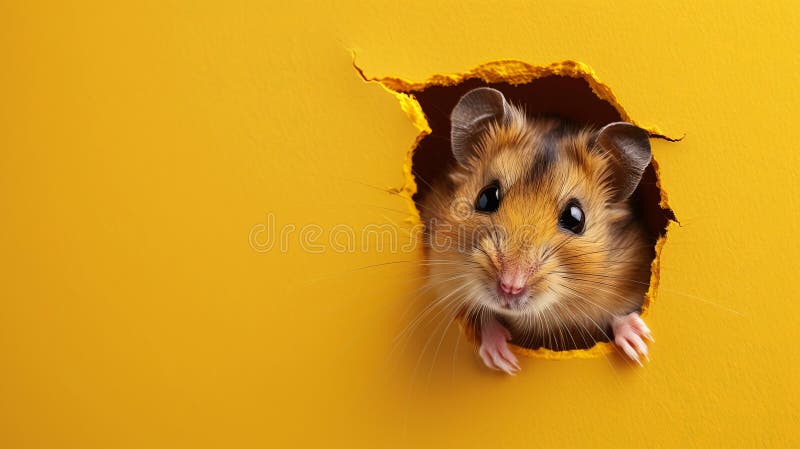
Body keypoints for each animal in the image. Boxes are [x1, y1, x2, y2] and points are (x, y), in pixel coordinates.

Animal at [419, 87, 655, 375]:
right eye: (486, 197)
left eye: (575, 218)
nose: (510, 287)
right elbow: (477, 315)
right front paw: (504, 361)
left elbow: (619, 316)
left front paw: (639, 344)